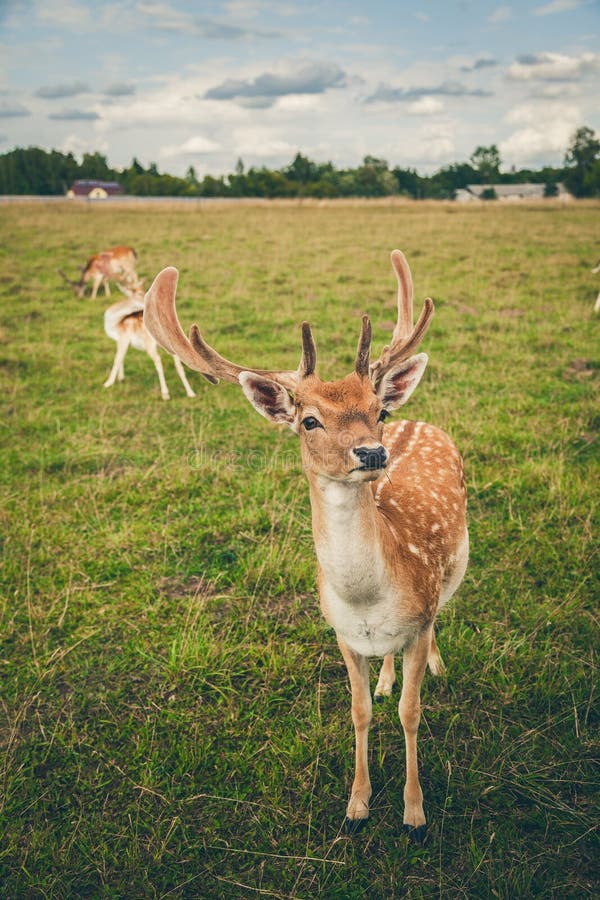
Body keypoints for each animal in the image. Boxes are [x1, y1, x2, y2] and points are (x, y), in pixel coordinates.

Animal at [142, 250, 469, 842]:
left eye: (377, 411)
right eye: (309, 419)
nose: (372, 453)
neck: (368, 600)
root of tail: (421, 418)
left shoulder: (418, 615)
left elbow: (410, 712)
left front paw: (414, 812)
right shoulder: (341, 633)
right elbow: (360, 712)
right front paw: (358, 803)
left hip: (452, 574)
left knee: (441, 620)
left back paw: (434, 665)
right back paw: (385, 679)